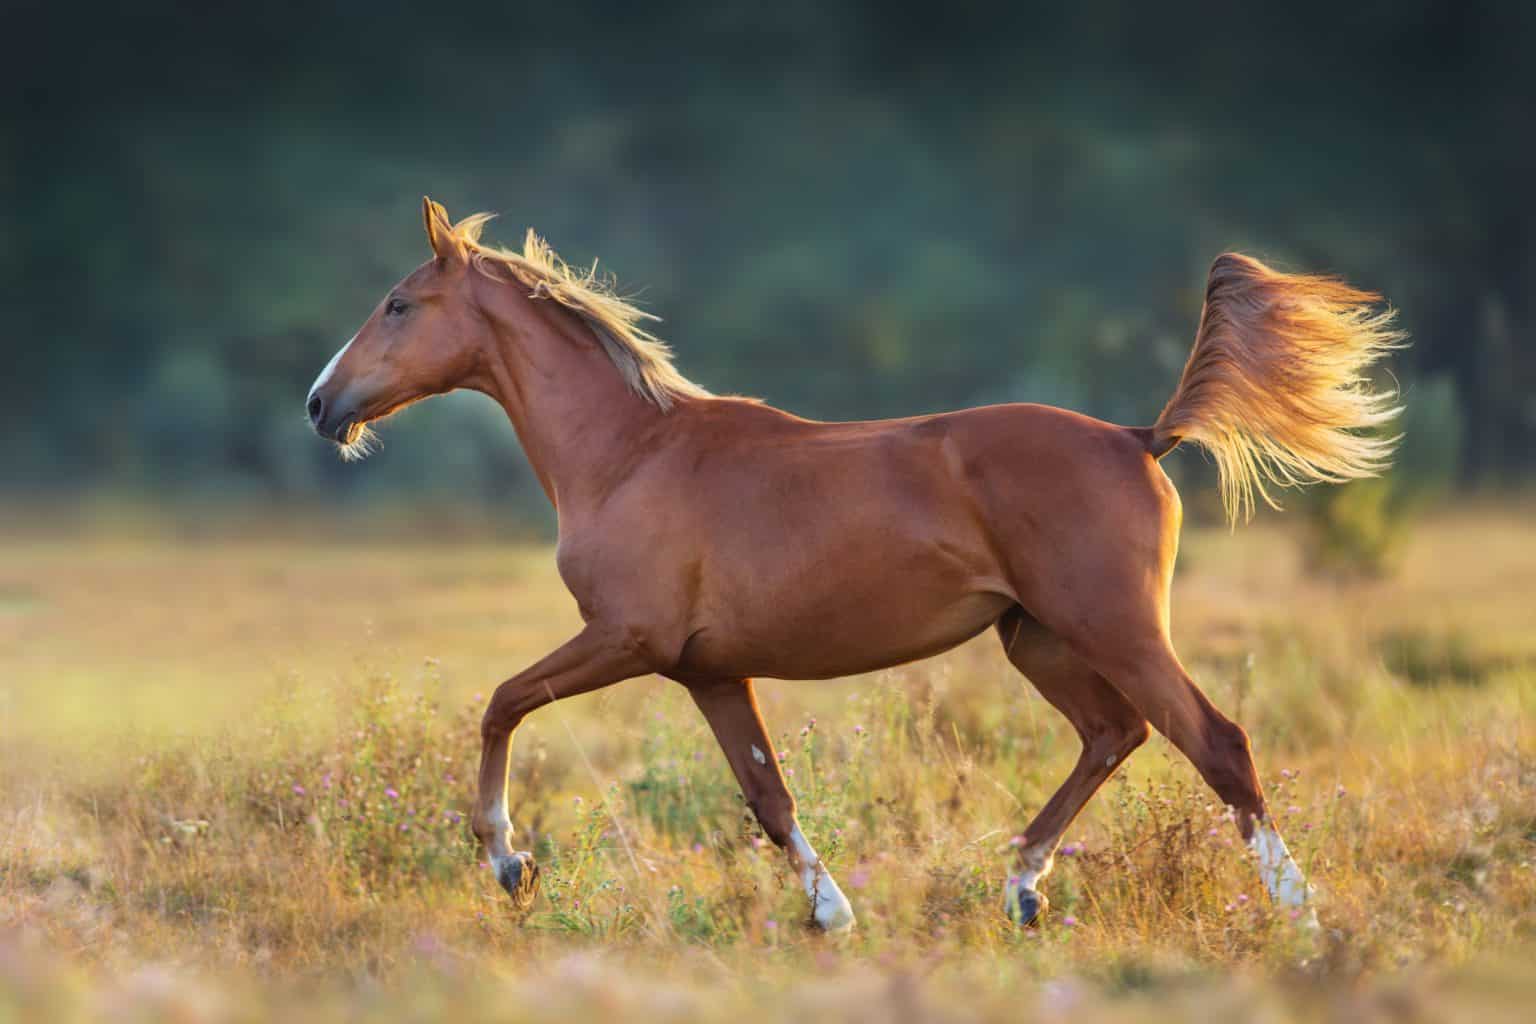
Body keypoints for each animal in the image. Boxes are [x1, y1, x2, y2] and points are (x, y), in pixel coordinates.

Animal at [306, 198, 1402, 931]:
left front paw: (508, 861)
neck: (629, 453)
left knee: (1217, 743)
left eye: (400, 304)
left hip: (1114, 627)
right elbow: (768, 798)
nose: (322, 404)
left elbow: (500, 704)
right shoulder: (708, 671)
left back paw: (1300, 913)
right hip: (1038, 640)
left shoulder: (624, 638)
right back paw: (1022, 886)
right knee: (1113, 735)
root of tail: (1142, 437)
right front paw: (833, 913)